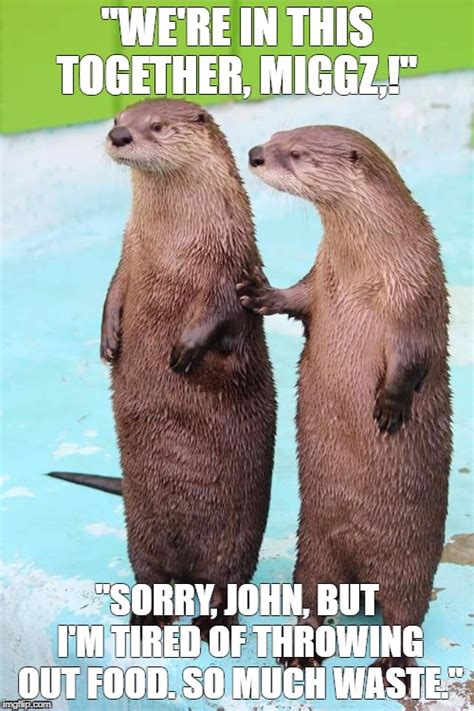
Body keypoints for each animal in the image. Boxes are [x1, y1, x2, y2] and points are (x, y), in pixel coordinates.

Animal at [50, 99, 276, 636]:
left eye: (155, 125)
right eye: (118, 117)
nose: (119, 136)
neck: (173, 248)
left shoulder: (232, 263)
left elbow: (222, 311)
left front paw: (184, 350)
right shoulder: (128, 254)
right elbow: (113, 291)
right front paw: (109, 339)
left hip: (237, 538)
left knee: (227, 581)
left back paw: (211, 622)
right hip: (140, 529)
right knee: (151, 575)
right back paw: (149, 617)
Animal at [237, 126, 452, 679]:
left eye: (295, 153)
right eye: (277, 134)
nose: (255, 154)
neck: (365, 274)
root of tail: (361, 576)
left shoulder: (417, 299)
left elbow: (412, 360)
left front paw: (390, 407)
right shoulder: (320, 281)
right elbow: (294, 299)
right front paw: (259, 293)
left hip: (409, 560)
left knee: (404, 613)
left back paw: (392, 662)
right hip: (313, 549)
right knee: (315, 597)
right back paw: (300, 649)